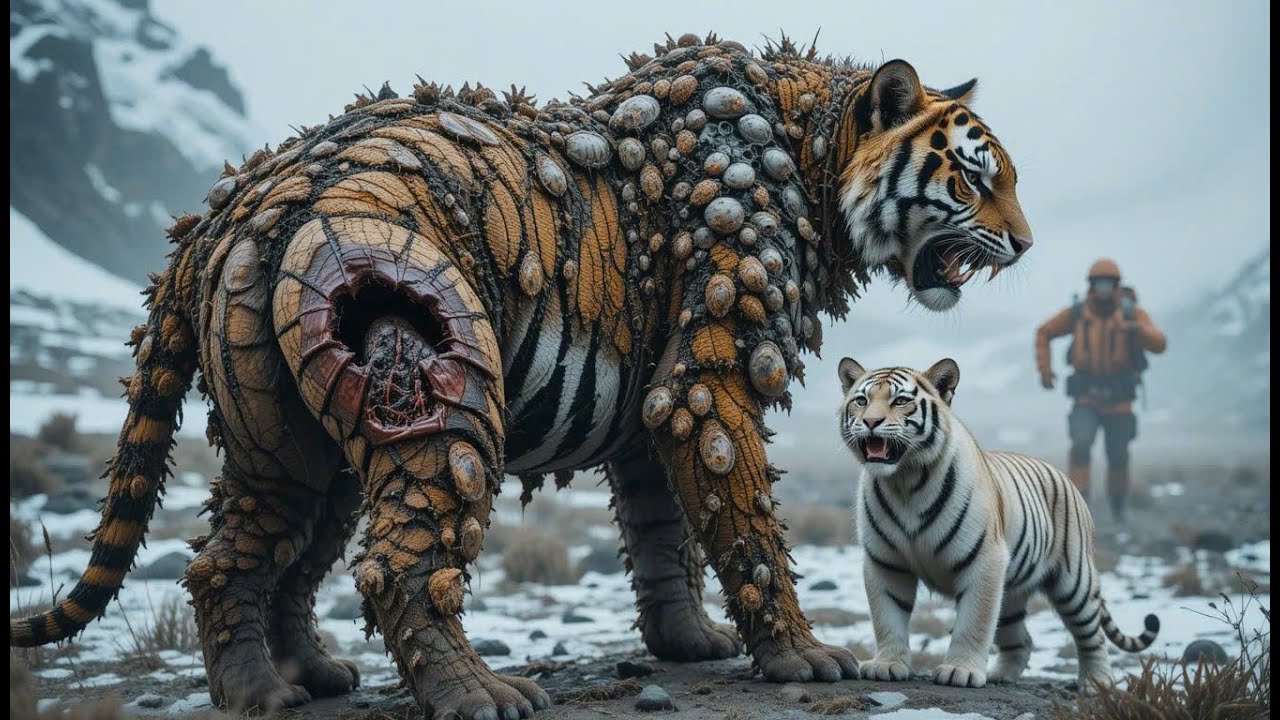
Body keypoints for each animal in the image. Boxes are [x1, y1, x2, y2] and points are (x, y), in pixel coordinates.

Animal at [12, 32, 1032, 719]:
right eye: (975, 179)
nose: (1025, 245)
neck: (811, 149)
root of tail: (231, 204)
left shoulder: (651, 403)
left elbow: (664, 534)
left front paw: (688, 643)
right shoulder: (709, 379)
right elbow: (744, 522)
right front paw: (801, 657)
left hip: (286, 438)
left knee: (239, 558)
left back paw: (279, 686)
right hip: (438, 399)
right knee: (393, 563)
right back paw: (475, 693)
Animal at [837, 357, 1160, 691]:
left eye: (900, 401)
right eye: (861, 401)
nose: (870, 422)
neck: (905, 481)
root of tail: (1065, 477)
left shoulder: (985, 561)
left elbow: (973, 622)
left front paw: (960, 671)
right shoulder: (885, 562)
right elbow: (888, 618)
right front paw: (887, 665)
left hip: (1074, 581)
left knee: (1091, 635)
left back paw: (1096, 682)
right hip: (1011, 593)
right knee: (1022, 639)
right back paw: (1000, 675)